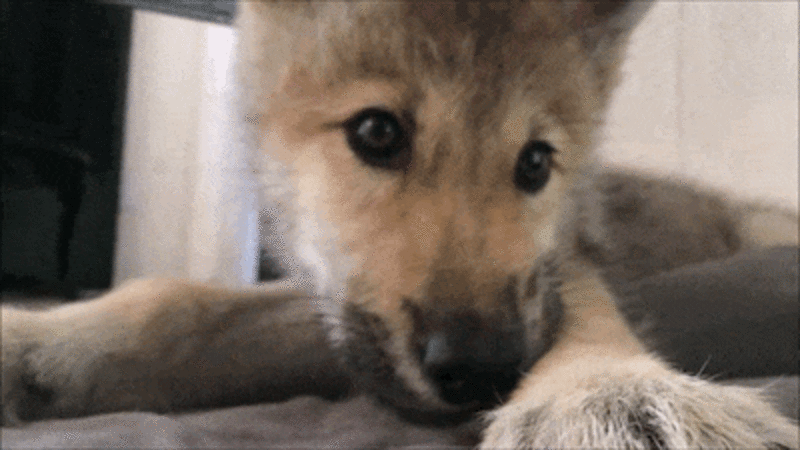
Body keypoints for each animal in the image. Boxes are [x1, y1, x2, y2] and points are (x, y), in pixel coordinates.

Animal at [3, 1, 798, 448]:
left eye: (535, 163)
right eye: (376, 132)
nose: (481, 370)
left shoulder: (557, 273)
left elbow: (585, 311)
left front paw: (609, 392)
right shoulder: (351, 320)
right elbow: (183, 304)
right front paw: (35, 341)